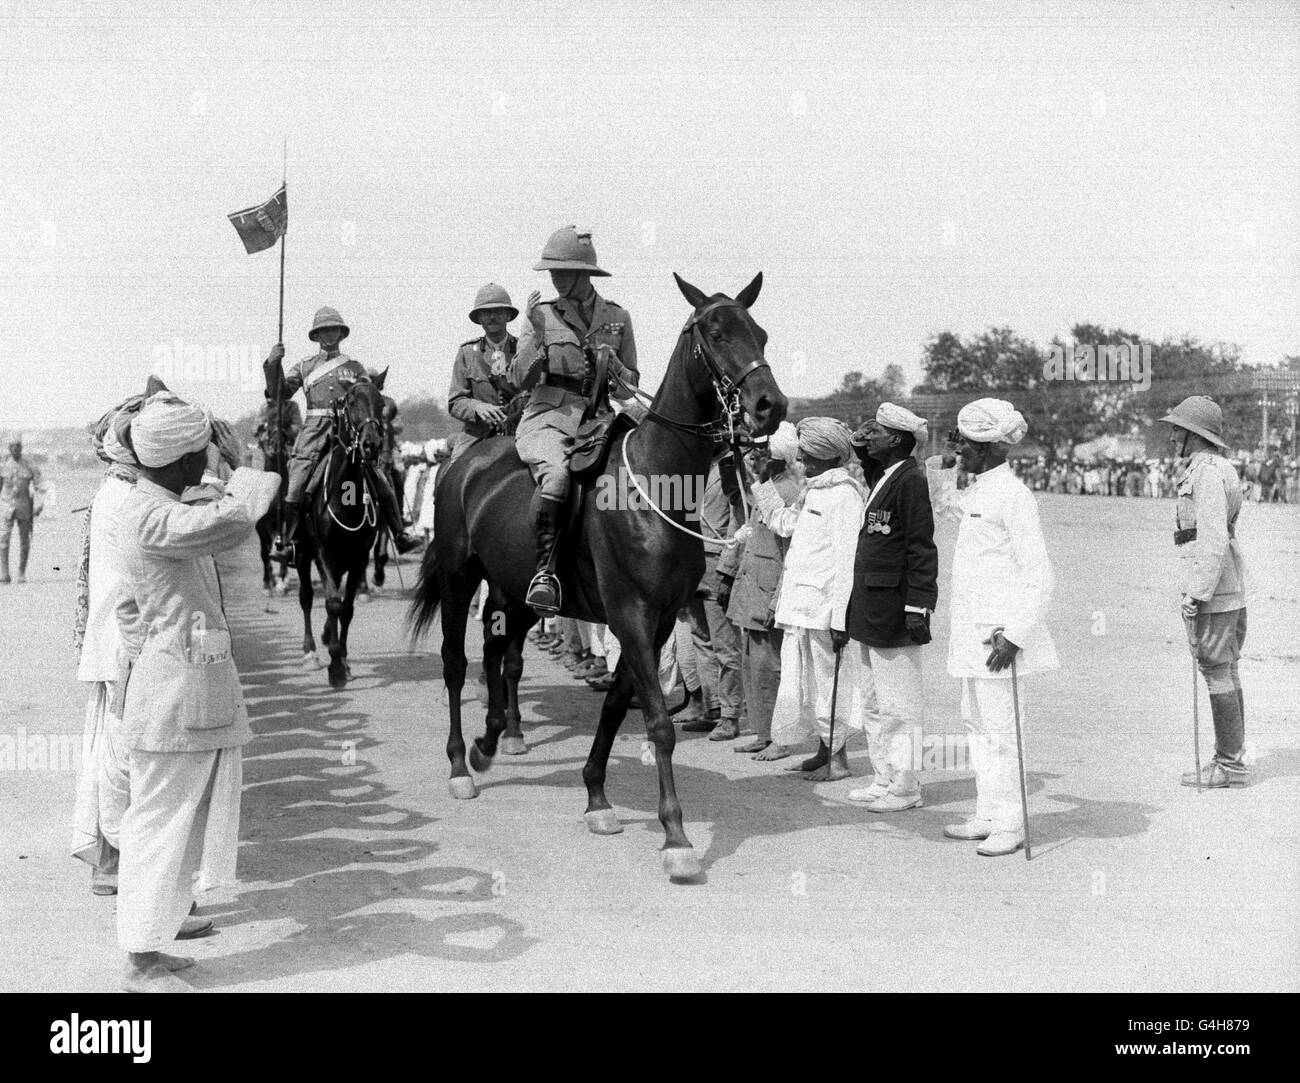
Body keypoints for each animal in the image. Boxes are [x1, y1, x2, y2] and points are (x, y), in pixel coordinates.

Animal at [297, 371, 384, 686]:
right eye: (350, 402)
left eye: (381, 404)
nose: (371, 445)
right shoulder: (322, 553)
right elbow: (332, 602)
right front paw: (335, 665)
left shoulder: (358, 557)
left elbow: (345, 608)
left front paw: (342, 660)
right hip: (303, 555)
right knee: (307, 598)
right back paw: (311, 651)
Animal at [410, 270, 785, 878]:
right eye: (714, 331)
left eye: (761, 332)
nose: (769, 405)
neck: (657, 483)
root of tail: (463, 463)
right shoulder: (631, 616)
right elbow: (657, 722)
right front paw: (676, 837)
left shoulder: (655, 623)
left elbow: (614, 707)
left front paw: (596, 798)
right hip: (457, 579)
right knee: (455, 664)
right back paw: (460, 766)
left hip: (517, 593)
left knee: (500, 655)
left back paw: (492, 742)